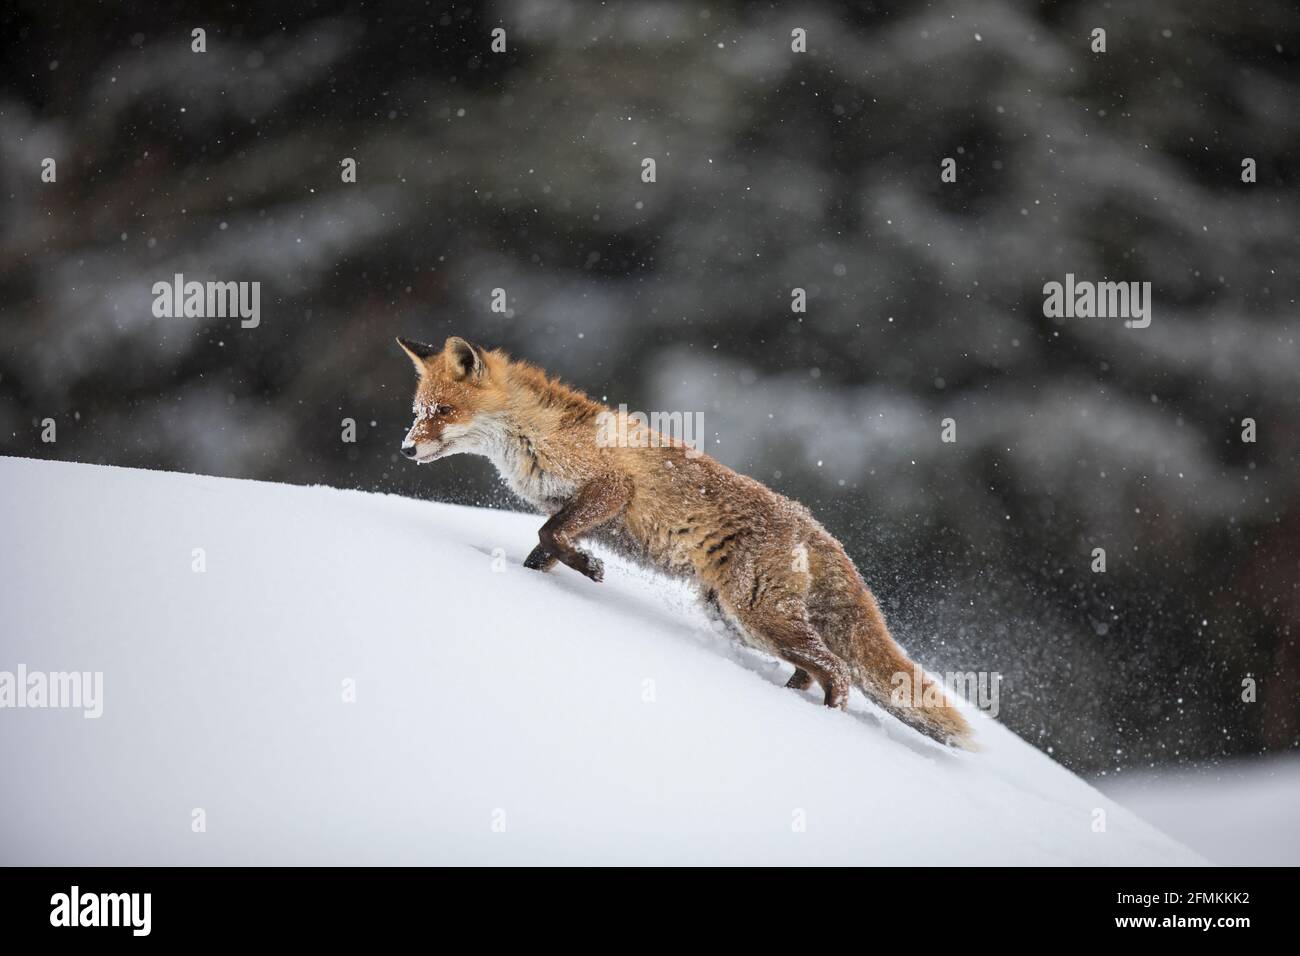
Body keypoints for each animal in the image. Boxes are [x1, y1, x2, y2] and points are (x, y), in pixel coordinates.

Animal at [397, 335, 975, 749]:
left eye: (442, 412)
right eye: (418, 411)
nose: (405, 449)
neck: (533, 435)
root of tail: (811, 523)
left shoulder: (609, 488)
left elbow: (551, 536)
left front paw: (590, 569)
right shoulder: (570, 507)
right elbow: (542, 550)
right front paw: (544, 579)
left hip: (758, 614)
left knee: (835, 671)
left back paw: (825, 723)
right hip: (740, 620)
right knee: (812, 671)